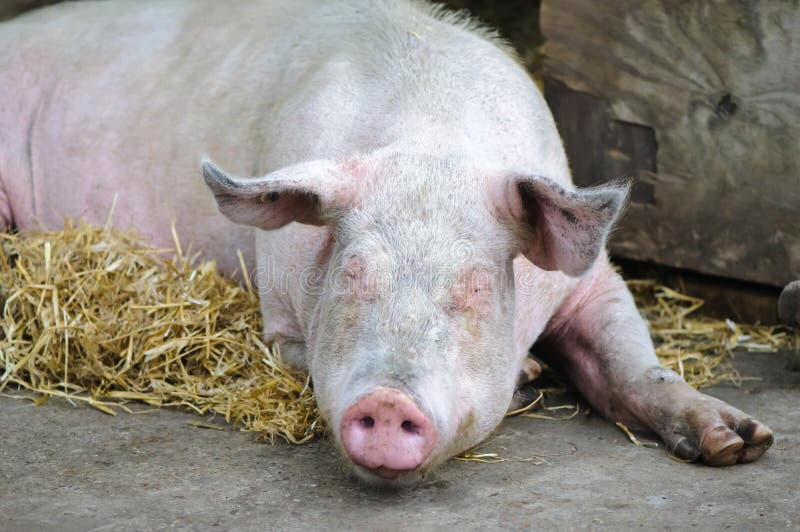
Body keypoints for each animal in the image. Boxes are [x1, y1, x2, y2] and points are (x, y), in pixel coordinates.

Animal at [0, 0, 773, 486]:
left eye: (478, 285)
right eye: (352, 271)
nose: (390, 402)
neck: (431, 144)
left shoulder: (589, 281)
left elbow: (633, 361)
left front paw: (742, 444)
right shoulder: (277, 310)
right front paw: (530, 371)